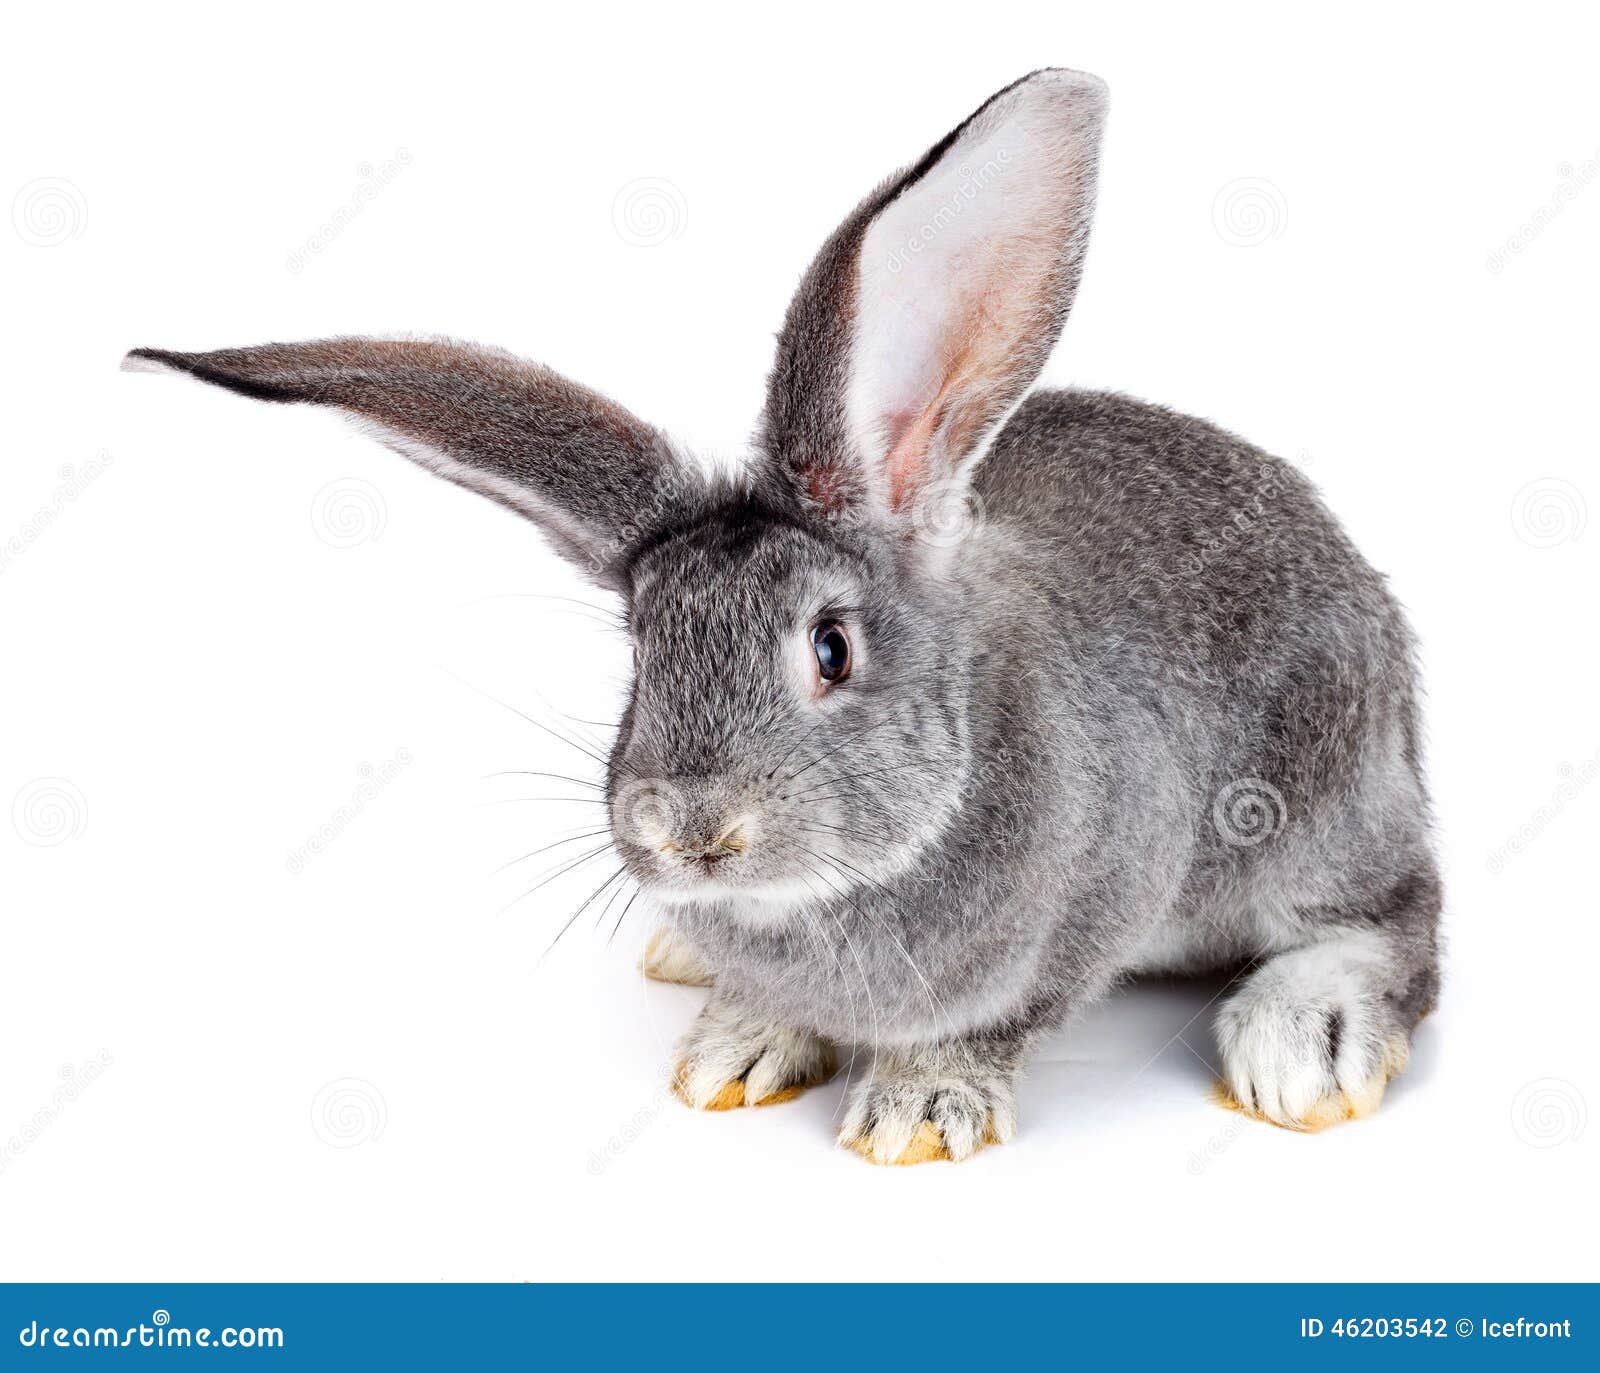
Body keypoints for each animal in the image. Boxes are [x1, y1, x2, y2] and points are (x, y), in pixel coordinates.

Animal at [124, 67, 1440, 1164]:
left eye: (831, 649)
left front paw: (916, 1108)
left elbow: (993, 1021)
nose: (691, 833)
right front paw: (736, 1041)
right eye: (643, 651)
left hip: (1312, 794)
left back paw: (1301, 1044)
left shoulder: (1091, 907)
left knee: (1396, 917)